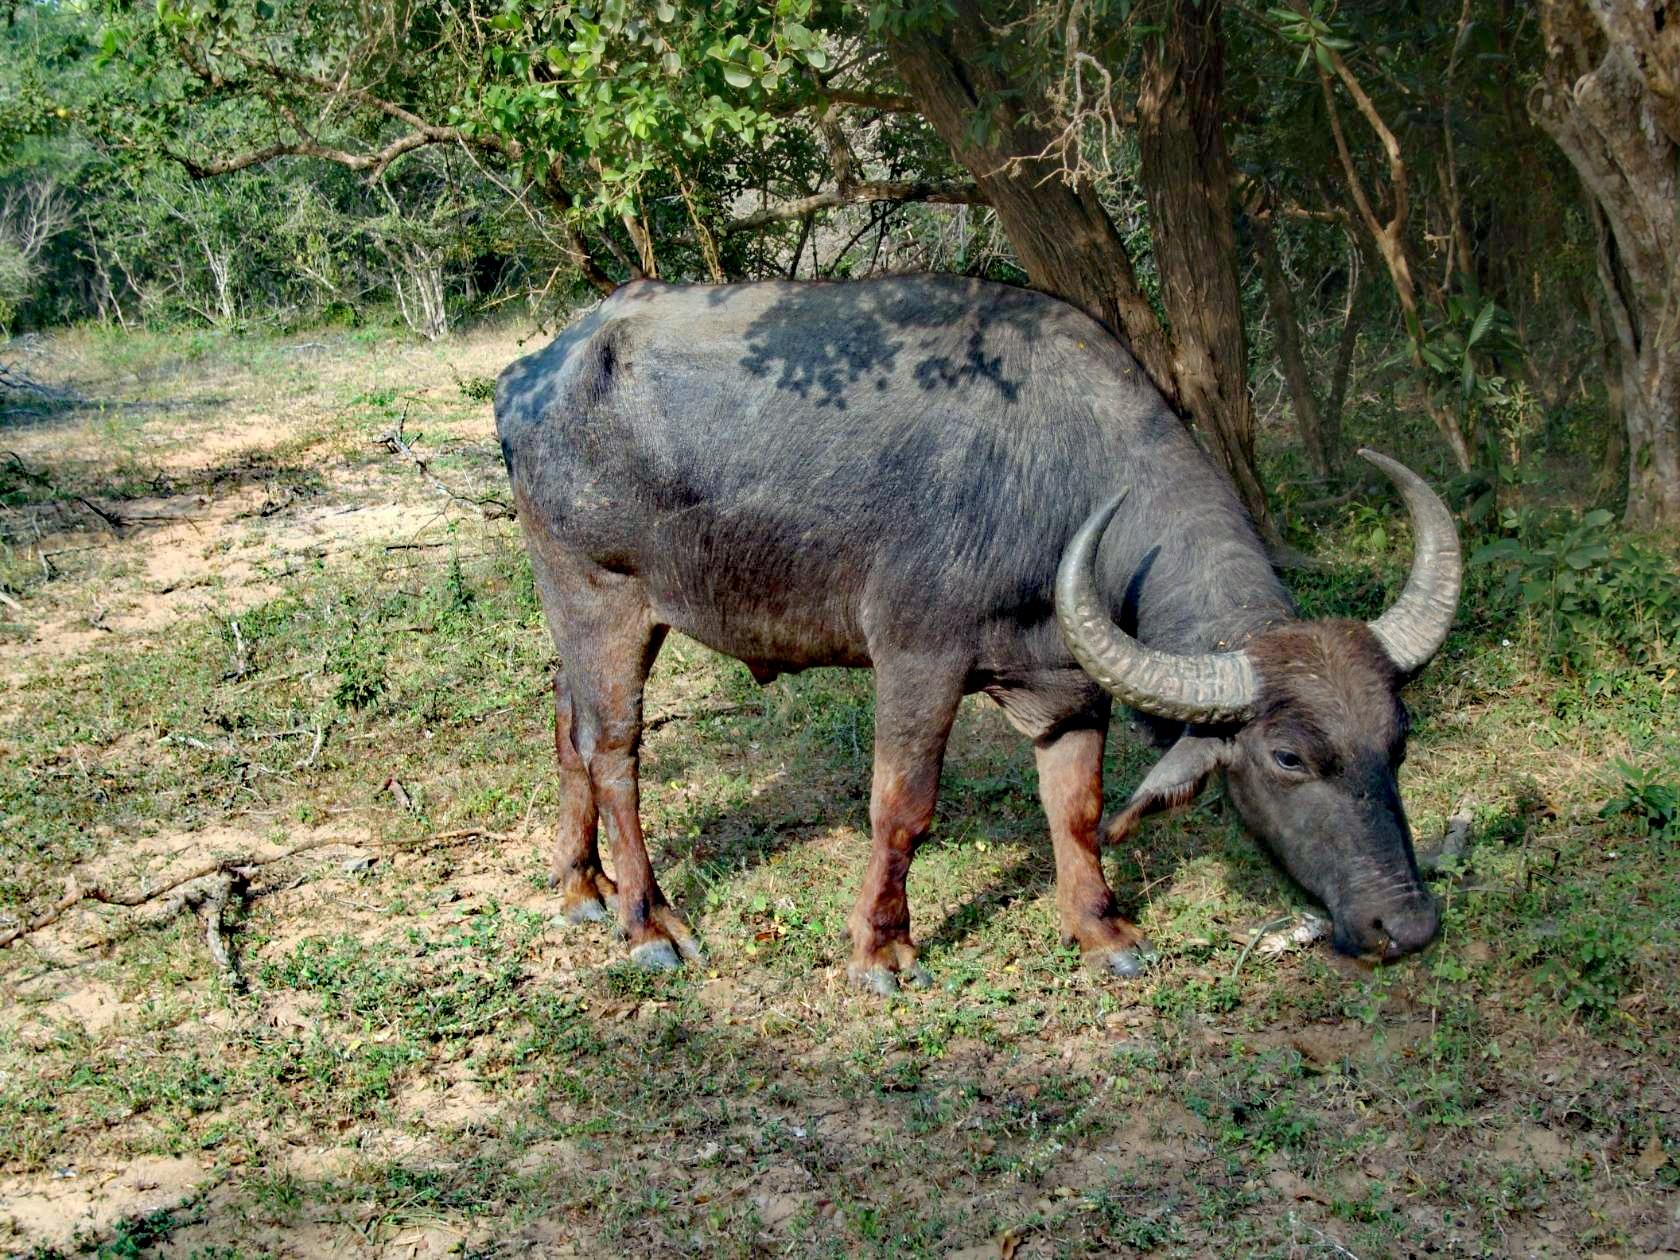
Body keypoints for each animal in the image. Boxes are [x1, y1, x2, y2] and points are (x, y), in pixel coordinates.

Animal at [497, 275, 1458, 994]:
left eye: (1398, 742)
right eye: (1289, 757)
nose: (1407, 925)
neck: (1059, 477)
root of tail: (534, 374)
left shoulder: (1070, 685)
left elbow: (1076, 809)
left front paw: (1103, 930)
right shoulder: (916, 658)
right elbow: (902, 806)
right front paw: (881, 949)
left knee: (565, 719)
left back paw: (581, 885)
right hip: (599, 592)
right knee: (613, 746)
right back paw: (647, 922)